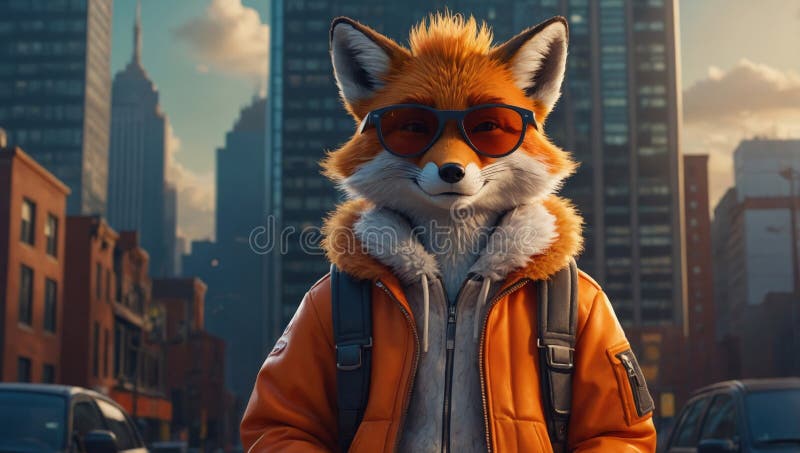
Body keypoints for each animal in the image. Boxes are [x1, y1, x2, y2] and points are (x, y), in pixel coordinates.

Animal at [242, 12, 657, 453]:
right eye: (412, 127)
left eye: (488, 126)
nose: (452, 171)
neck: (454, 286)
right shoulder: (319, 304)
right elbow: (283, 420)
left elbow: (612, 427)